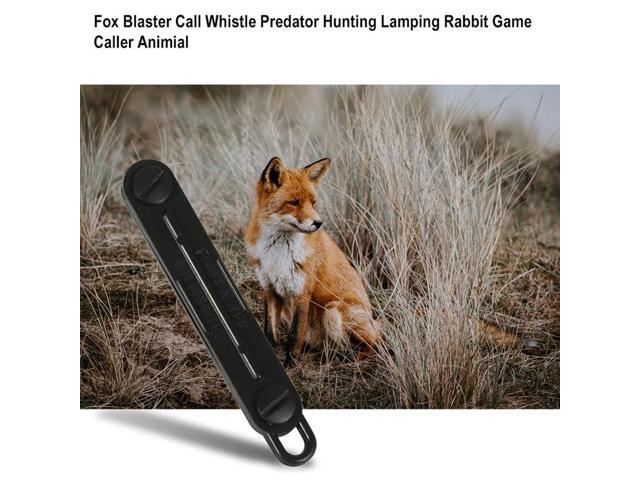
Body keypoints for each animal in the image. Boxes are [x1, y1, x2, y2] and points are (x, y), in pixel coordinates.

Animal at [245, 157, 380, 365]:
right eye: (293, 202)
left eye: (313, 203)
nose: (318, 223)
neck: (277, 254)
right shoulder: (269, 288)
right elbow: (269, 331)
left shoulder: (302, 291)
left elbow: (294, 336)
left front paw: (292, 365)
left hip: (333, 311)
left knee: (375, 344)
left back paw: (350, 359)